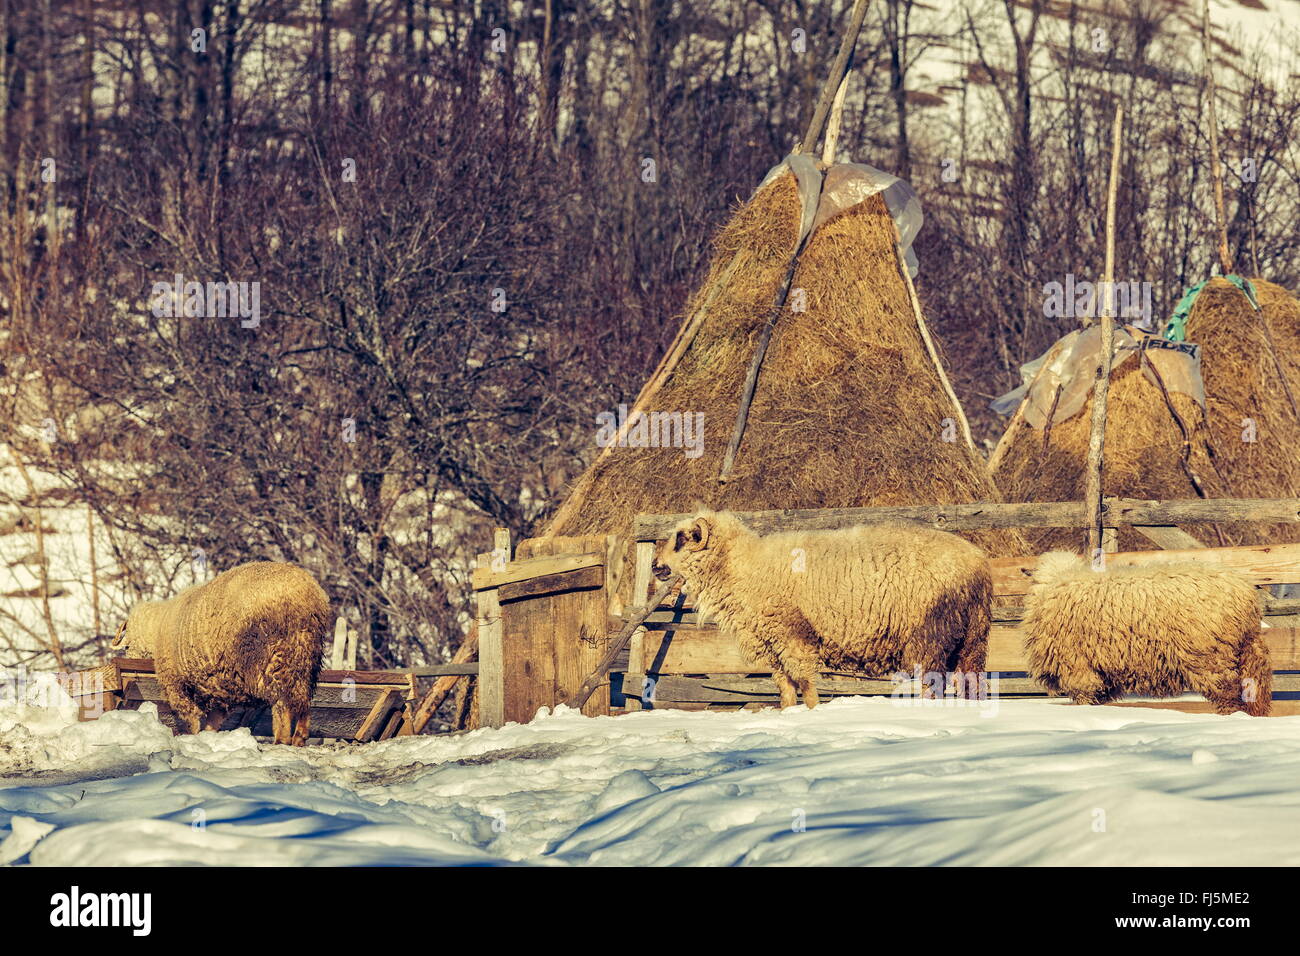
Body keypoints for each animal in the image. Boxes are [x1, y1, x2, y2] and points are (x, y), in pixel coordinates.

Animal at [111, 561, 330, 745]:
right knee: (302, 699)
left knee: (282, 702)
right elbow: (213, 720)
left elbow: (190, 716)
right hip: (306, 658)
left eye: (128, 647)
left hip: (272, 658)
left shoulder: (175, 683)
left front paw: (191, 736)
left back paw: (281, 740)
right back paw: (299, 738)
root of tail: (303, 596)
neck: (158, 628)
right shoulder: (217, 688)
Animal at [651, 509, 992, 708]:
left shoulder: (791, 634)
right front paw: (788, 713)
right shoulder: (771, 641)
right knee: (971, 678)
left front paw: (812, 712)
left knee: (930, 680)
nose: (655, 566)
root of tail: (978, 563)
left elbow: (804, 680)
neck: (741, 566)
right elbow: (785, 685)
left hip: (930, 631)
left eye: (682, 539)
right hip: (972, 634)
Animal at [1022, 551, 1271, 716]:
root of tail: (1244, 593)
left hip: (1210, 655)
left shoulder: (1077, 665)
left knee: (1229, 692)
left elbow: (1084, 696)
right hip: (1245, 649)